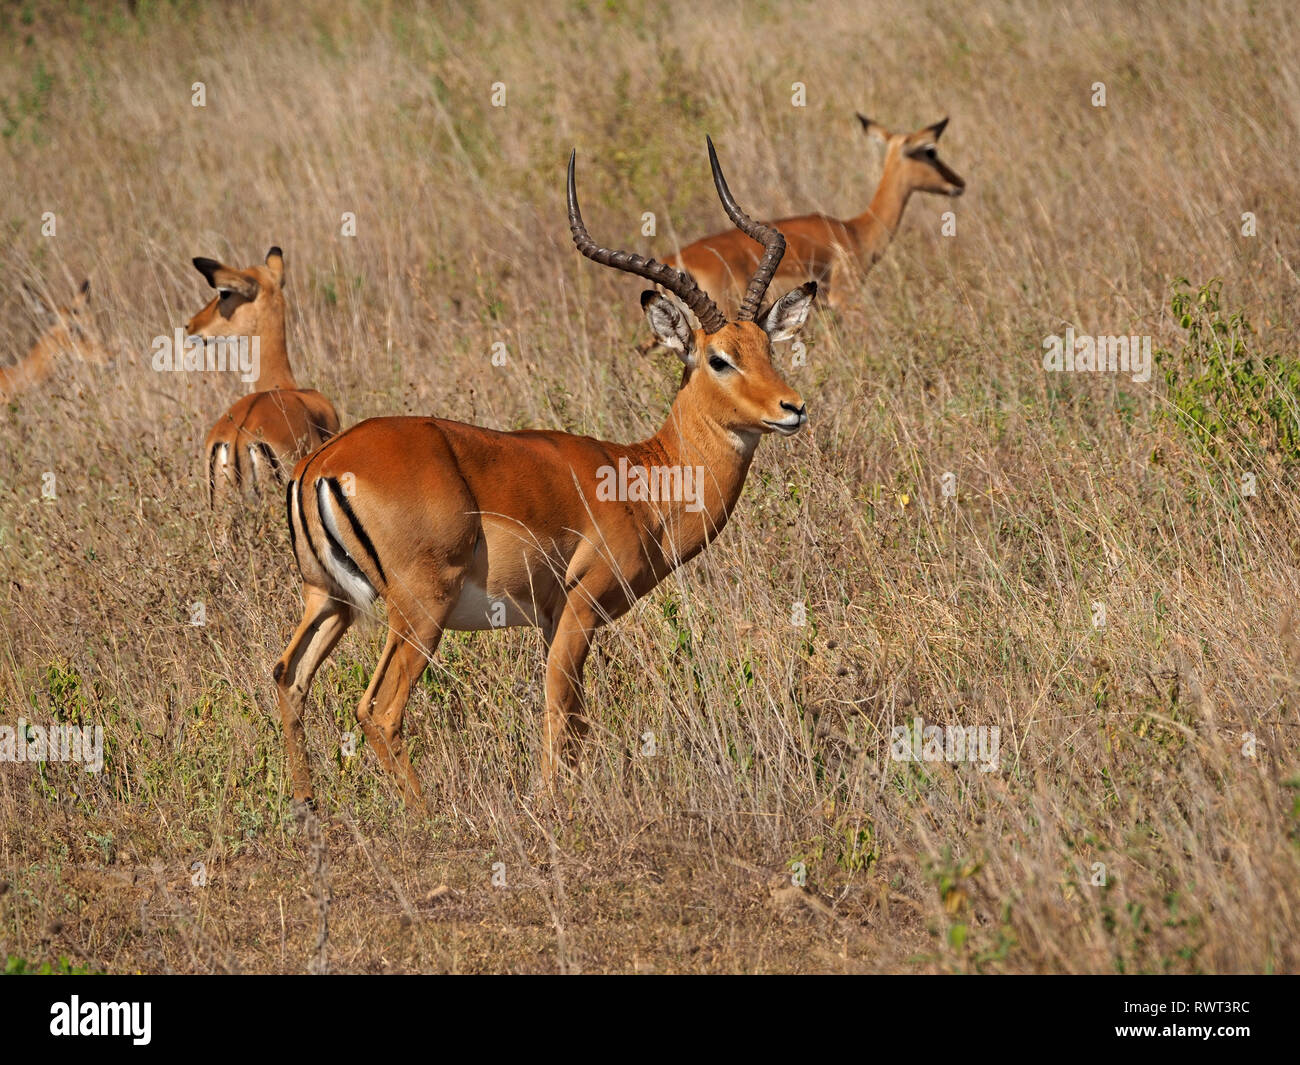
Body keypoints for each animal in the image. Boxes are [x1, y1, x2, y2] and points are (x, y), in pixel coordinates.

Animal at [271, 138, 816, 811]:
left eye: (768, 348)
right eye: (719, 359)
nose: (792, 408)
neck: (644, 477)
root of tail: (322, 464)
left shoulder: (553, 620)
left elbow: (575, 718)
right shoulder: (579, 610)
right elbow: (560, 710)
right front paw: (553, 806)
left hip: (328, 600)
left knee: (288, 679)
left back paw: (307, 809)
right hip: (420, 609)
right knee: (378, 710)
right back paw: (429, 818)